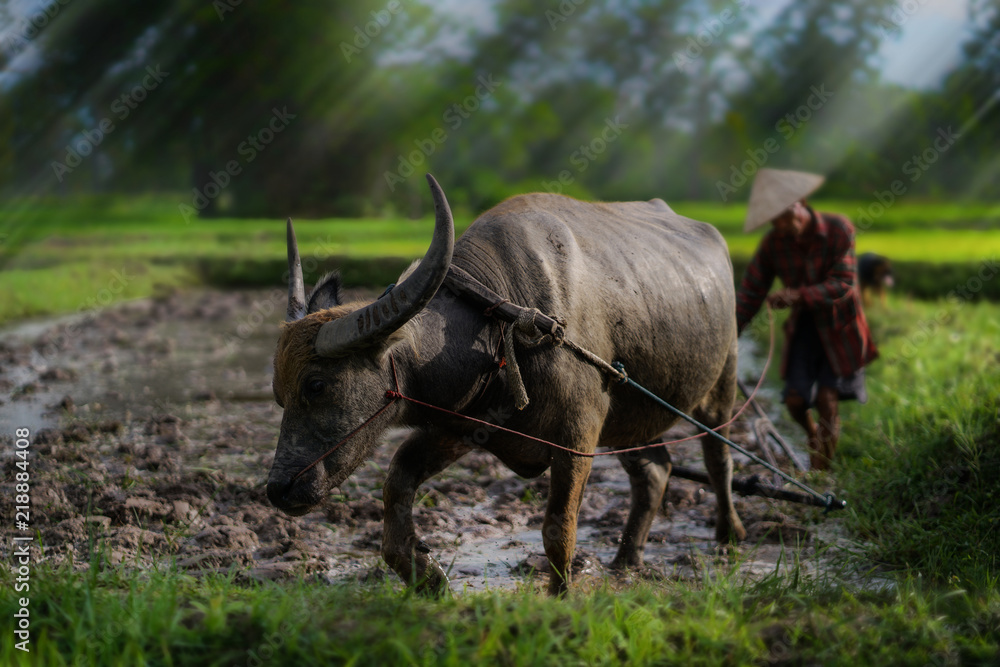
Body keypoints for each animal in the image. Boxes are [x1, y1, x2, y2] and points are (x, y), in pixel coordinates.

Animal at [267, 175, 745, 595]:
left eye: (316, 385)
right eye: (278, 395)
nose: (277, 490)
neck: (497, 324)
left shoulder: (577, 438)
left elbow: (558, 529)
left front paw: (559, 598)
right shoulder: (457, 426)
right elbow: (396, 485)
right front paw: (428, 579)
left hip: (720, 385)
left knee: (718, 456)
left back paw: (730, 536)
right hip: (631, 417)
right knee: (655, 470)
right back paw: (626, 561)